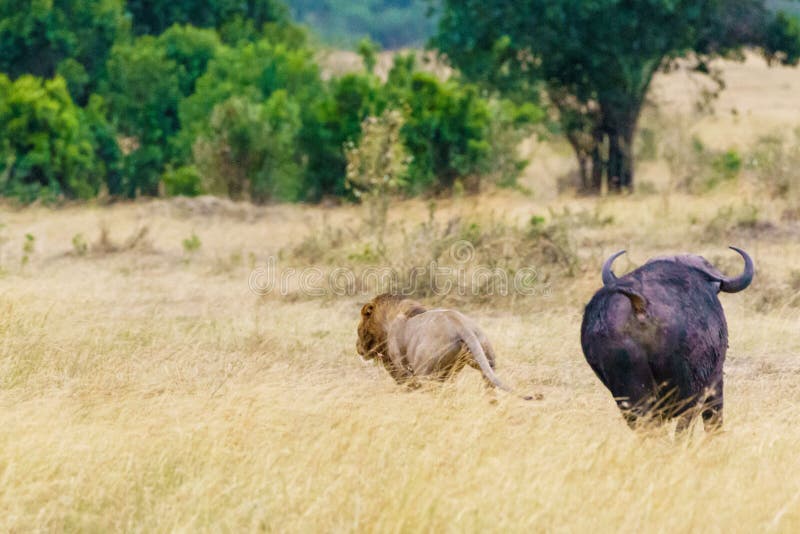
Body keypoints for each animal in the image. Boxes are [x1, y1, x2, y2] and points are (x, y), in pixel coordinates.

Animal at [356, 293, 534, 398]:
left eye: (358, 330)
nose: (358, 348)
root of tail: (460, 325)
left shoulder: (402, 368)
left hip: (426, 372)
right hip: (485, 360)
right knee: (488, 386)